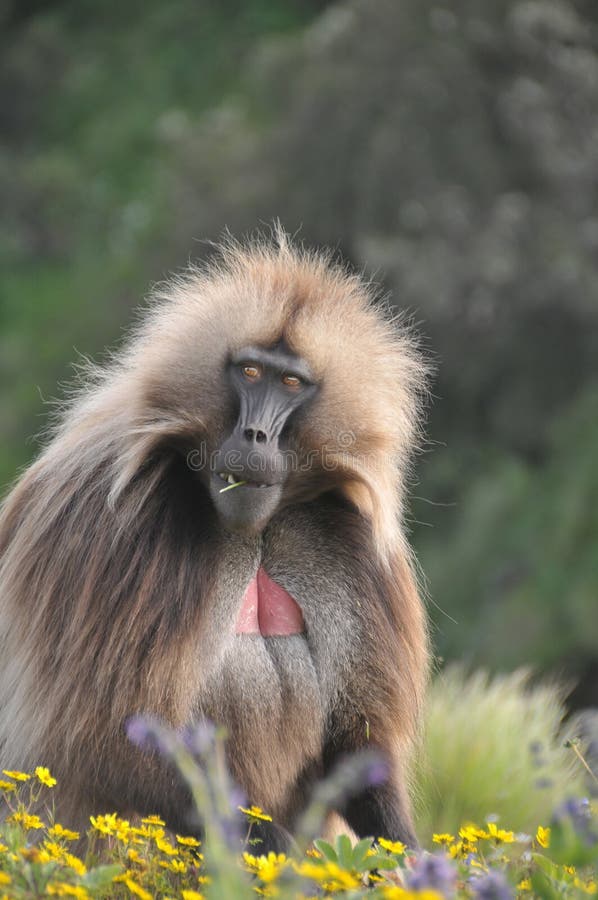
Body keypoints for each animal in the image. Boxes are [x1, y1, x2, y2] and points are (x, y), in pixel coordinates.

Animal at [0, 230, 429, 851]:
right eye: (248, 372)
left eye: (291, 382)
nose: (254, 435)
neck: (257, 528)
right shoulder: (114, 531)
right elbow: (106, 737)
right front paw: (280, 859)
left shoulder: (347, 543)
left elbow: (357, 745)